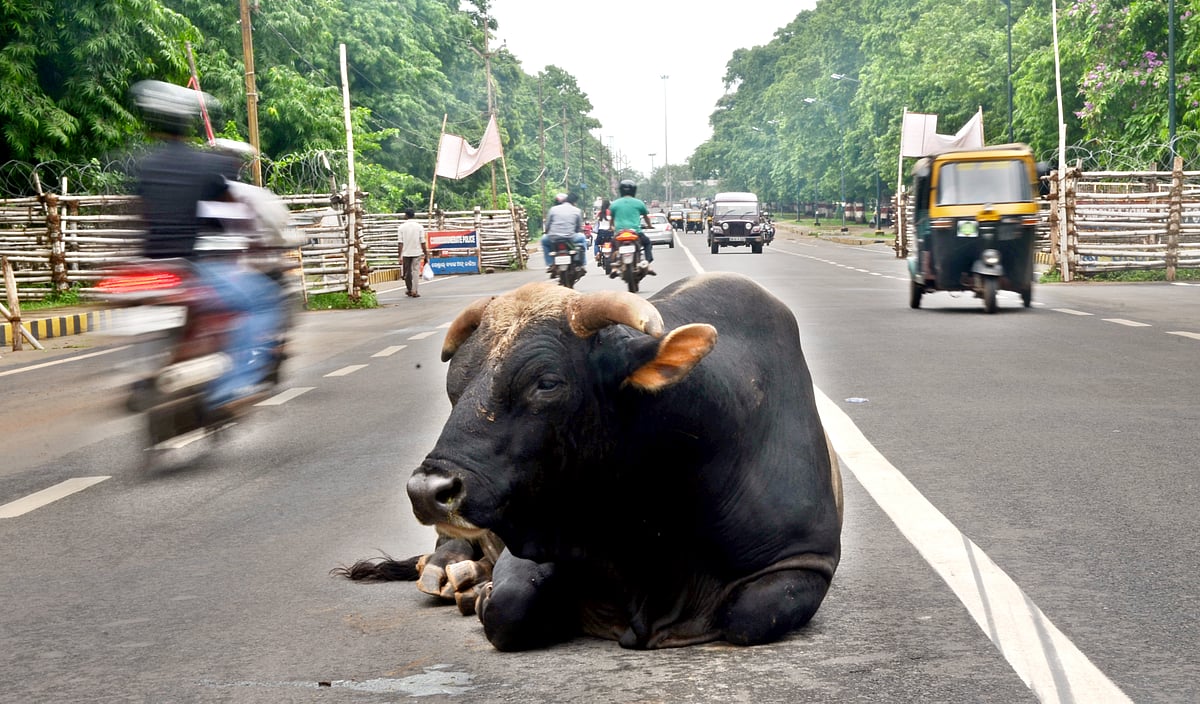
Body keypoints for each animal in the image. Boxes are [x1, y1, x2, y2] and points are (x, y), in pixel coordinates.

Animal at [344, 272, 843, 650]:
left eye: (547, 382)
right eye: (454, 383)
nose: (427, 491)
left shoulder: (807, 560)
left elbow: (752, 615)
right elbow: (508, 607)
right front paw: (484, 596)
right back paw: (449, 572)